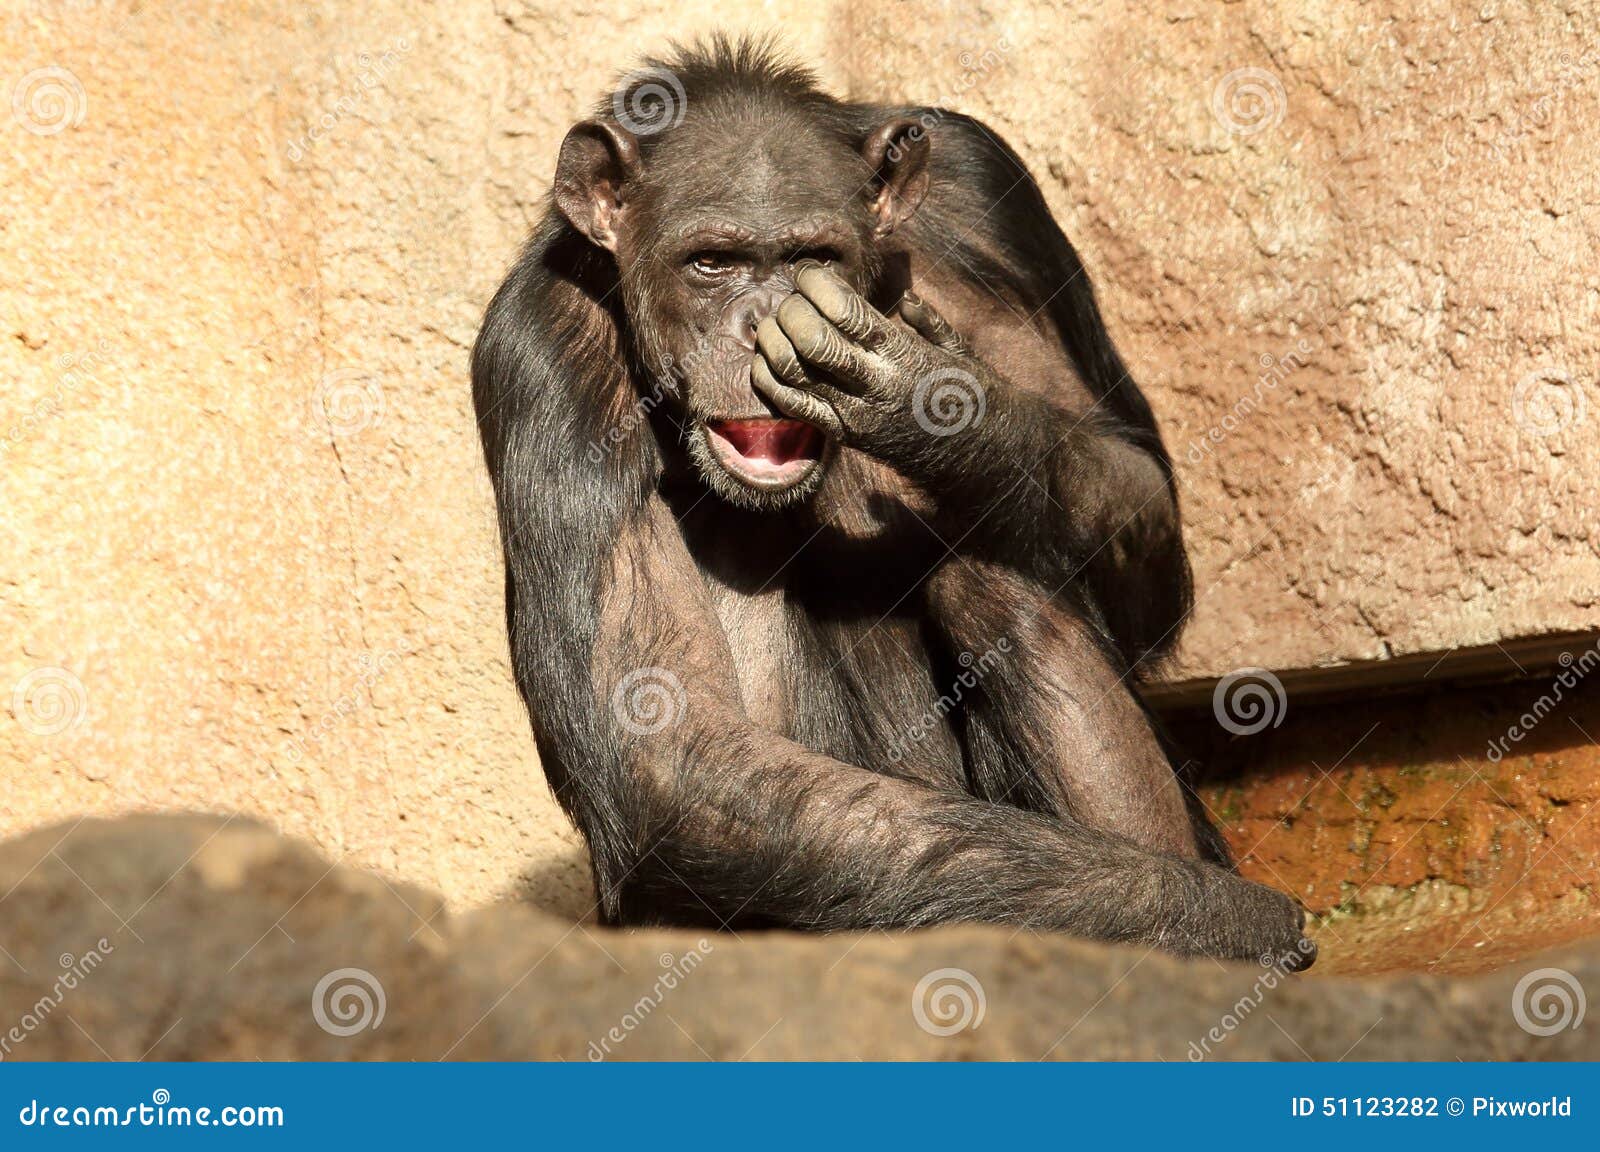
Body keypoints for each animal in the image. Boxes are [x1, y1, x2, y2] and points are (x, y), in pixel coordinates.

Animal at [472, 37, 1314, 967]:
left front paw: (937, 405)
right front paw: (1231, 918)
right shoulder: (544, 350)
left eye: (812, 260)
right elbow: (666, 747)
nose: (760, 322)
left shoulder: (983, 192)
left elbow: (1138, 490)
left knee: (994, 560)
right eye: (712, 263)